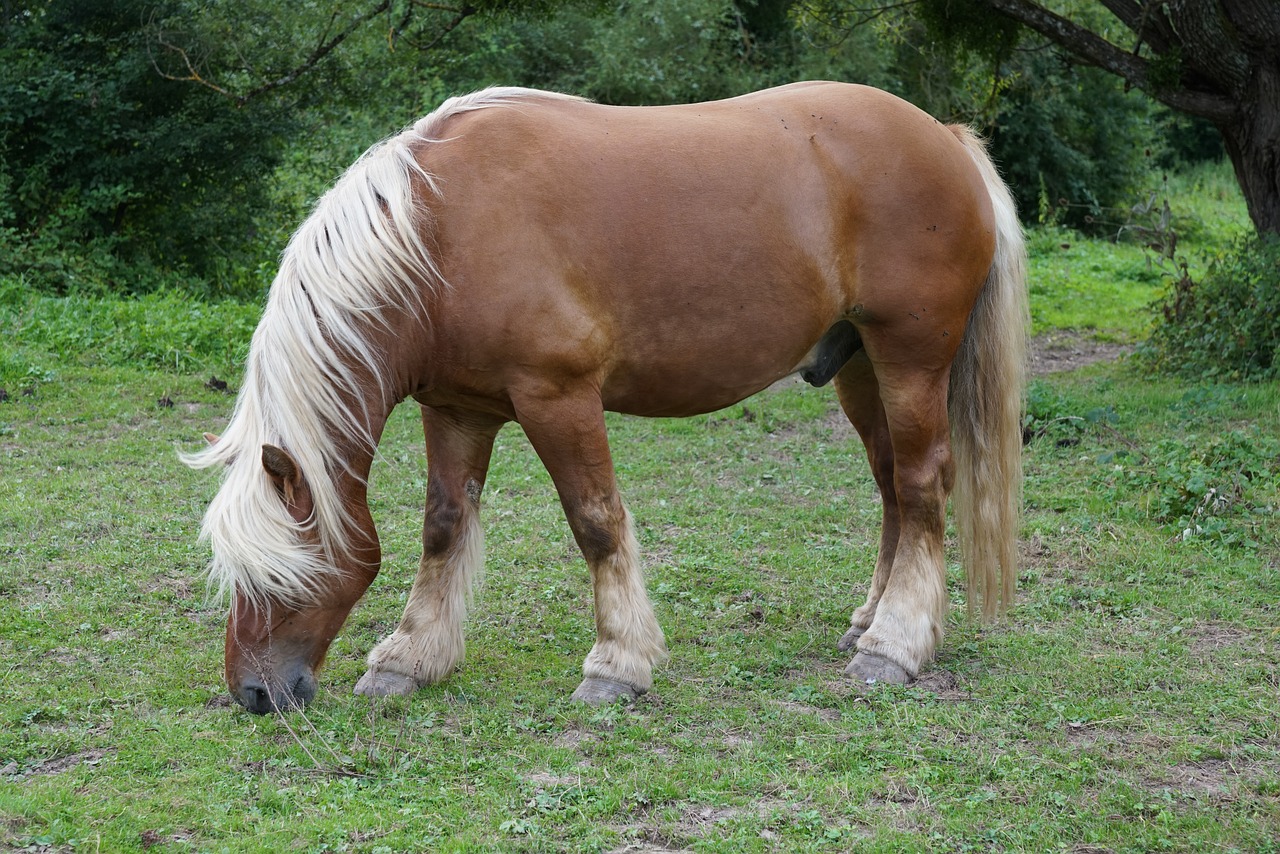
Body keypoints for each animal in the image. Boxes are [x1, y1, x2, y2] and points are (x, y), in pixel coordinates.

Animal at [184, 81, 1028, 715]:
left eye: (280, 573)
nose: (254, 694)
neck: (441, 234)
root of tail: (945, 136)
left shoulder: (558, 399)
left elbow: (596, 522)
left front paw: (616, 664)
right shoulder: (458, 408)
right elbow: (443, 526)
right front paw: (410, 657)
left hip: (910, 360)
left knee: (921, 485)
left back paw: (896, 646)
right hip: (860, 368)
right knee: (891, 487)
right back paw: (870, 621)